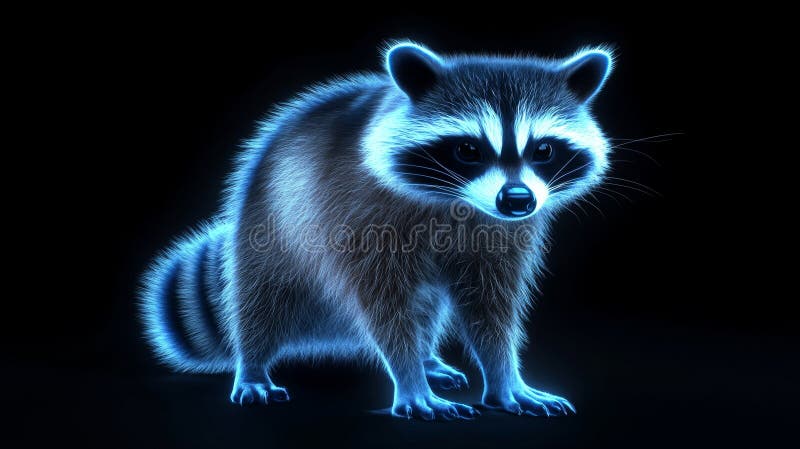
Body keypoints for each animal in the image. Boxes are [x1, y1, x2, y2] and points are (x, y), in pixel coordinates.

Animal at [140, 42, 613, 420]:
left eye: (544, 149)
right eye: (467, 150)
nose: (517, 200)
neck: (458, 202)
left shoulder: (506, 233)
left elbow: (490, 305)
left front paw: (503, 379)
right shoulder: (357, 213)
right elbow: (384, 307)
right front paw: (409, 379)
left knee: (427, 306)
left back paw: (428, 358)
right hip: (271, 223)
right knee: (262, 298)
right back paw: (253, 362)